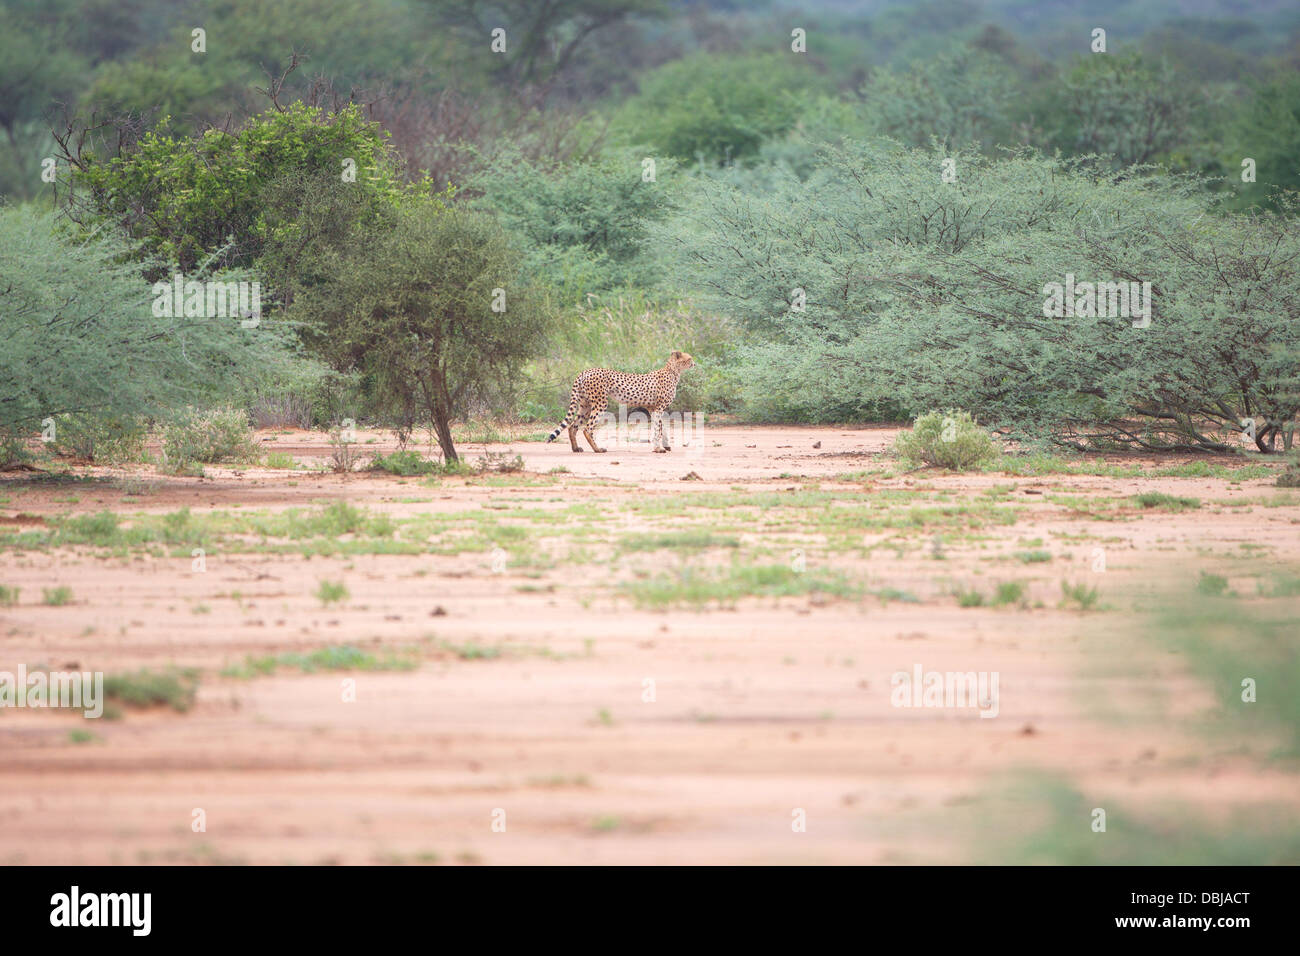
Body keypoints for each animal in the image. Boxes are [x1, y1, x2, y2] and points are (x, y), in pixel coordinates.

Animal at [546, 351, 695, 453]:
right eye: (689, 358)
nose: (694, 364)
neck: (673, 371)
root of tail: (585, 371)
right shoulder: (659, 408)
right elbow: (657, 429)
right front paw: (659, 449)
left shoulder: (653, 409)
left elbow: (660, 427)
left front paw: (664, 446)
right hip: (600, 403)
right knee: (587, 429)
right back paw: (598, 449)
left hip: (585, 405)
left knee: (573, 426)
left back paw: (576, 448)